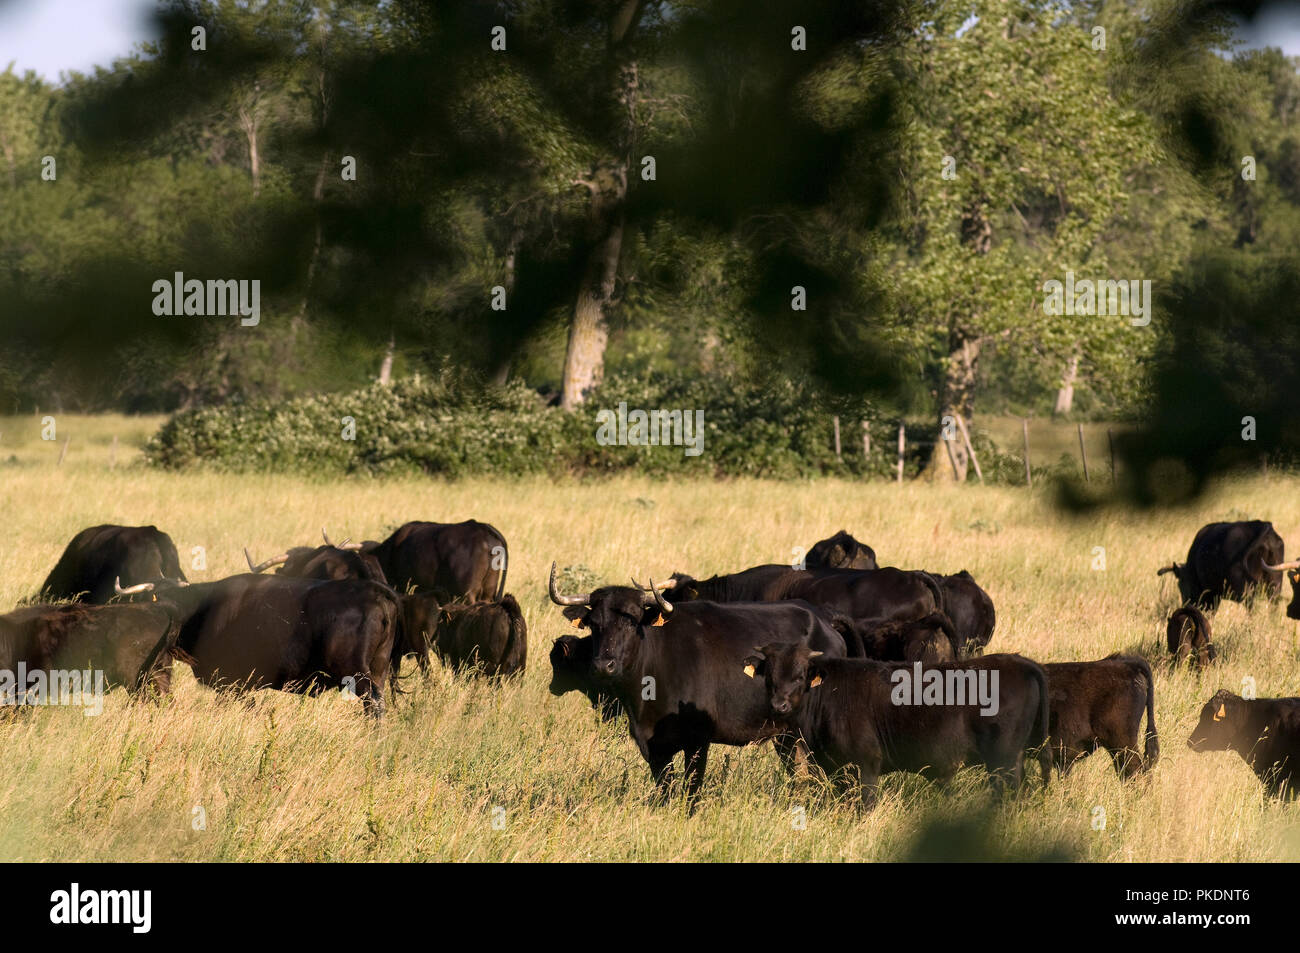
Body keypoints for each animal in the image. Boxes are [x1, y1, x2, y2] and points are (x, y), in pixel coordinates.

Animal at [114, 573, 405, 717]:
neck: (203, 611)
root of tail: (374, 591)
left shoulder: (231, 682)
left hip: (358, 674)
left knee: (373, 704)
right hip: (377, 671)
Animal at [548, 563, 849, 805]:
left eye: (631, 621)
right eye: (594, 623)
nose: (603, 665)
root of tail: (824, 622)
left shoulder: (697, 741)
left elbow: (692, 790)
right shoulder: (654, 749)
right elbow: (665, 791)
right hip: (786, 736)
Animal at [742, 640, 1051, 808]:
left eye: (799, 676)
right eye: (769, 676)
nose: (778, 705)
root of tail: (1021, 663)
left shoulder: (865, 767)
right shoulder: (839, 770)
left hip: (1003, 761)